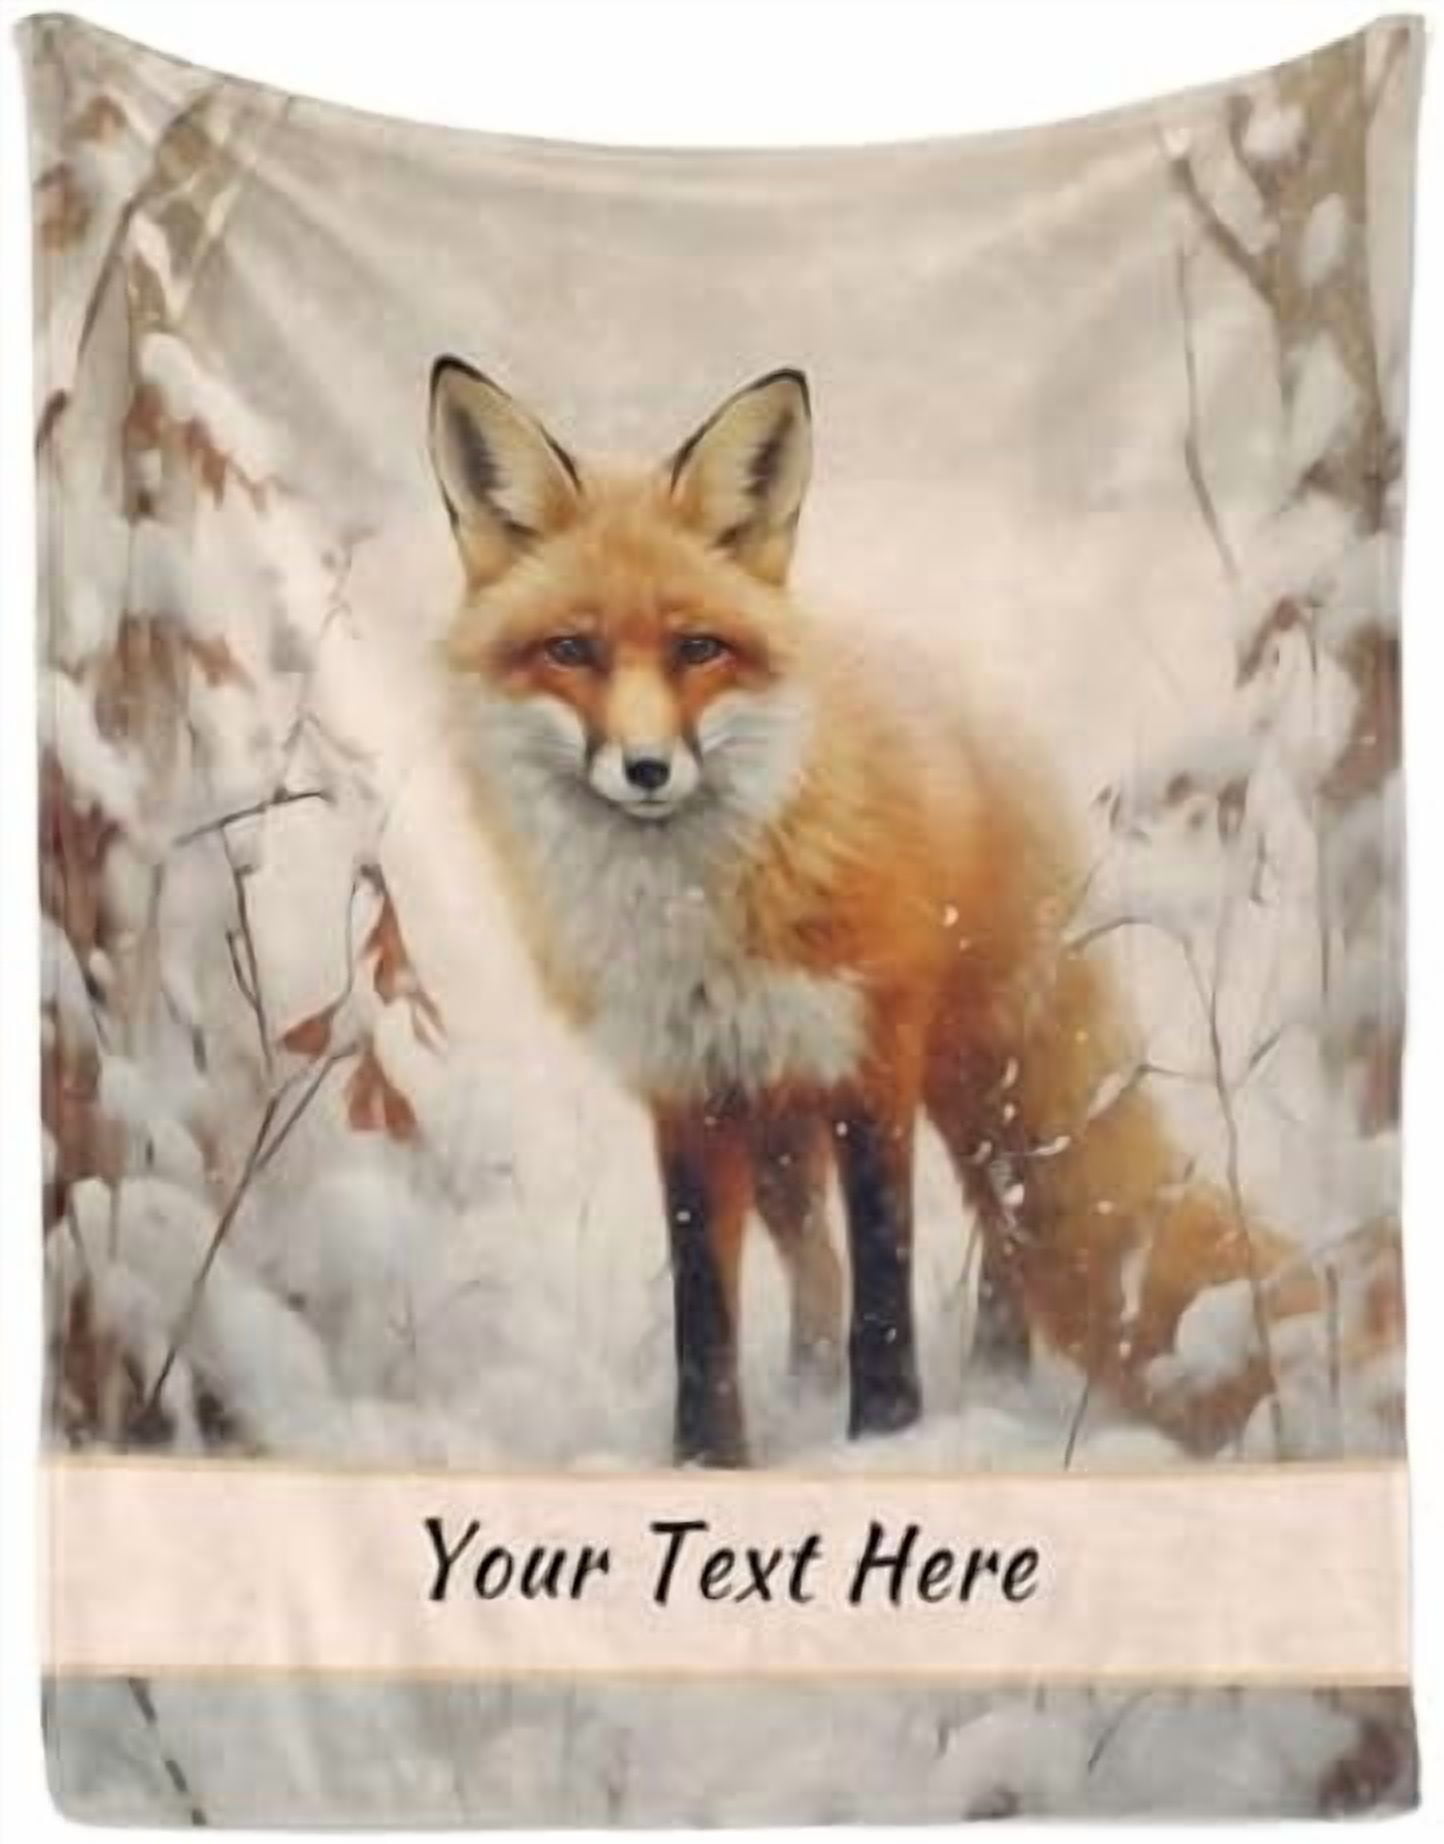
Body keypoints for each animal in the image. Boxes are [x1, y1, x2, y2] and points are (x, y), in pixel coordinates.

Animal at [428, 357, 1317, 1467]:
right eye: (571, 650)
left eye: (697, 648)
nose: (646, 769)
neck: (700, 904)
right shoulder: (689, 1089)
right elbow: (705, 1313)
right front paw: (711, 1459)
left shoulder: (874, 1058)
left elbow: (884, 1288)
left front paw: (885, 1439)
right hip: (780, 1123)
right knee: (816, 1266)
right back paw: (810, 1386)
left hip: (982, 1074)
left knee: (1003, 1226)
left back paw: (996, 1378)